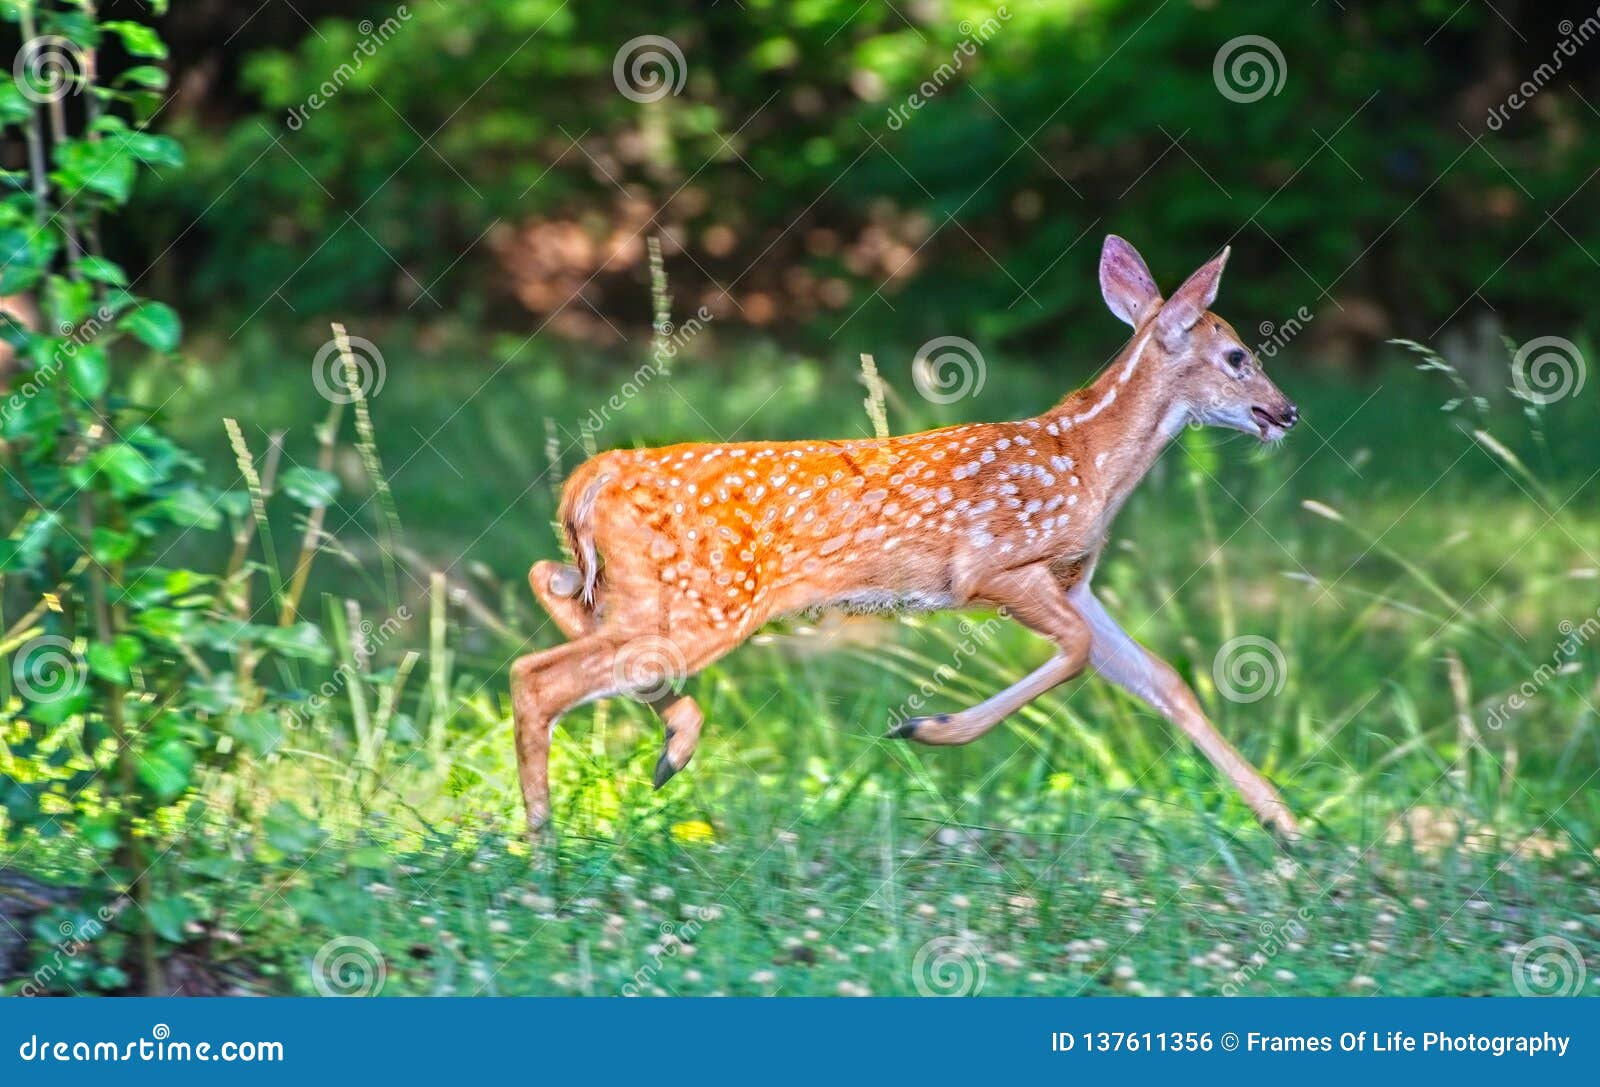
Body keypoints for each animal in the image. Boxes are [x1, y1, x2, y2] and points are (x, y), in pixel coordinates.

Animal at [511, 236, 1303, 844]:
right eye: (1238, 356)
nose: (1286, 411)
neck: (1085, 460)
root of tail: (597, 474)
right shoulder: (993, 569)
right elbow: (1077, 654)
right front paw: (929, 728)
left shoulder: (1072, 580)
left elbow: (1164, 679)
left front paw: (1284, 823)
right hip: (709, 601)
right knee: (537, 672)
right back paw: (546, 841)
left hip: (642, 591)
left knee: (550, 583)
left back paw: (672, 742)